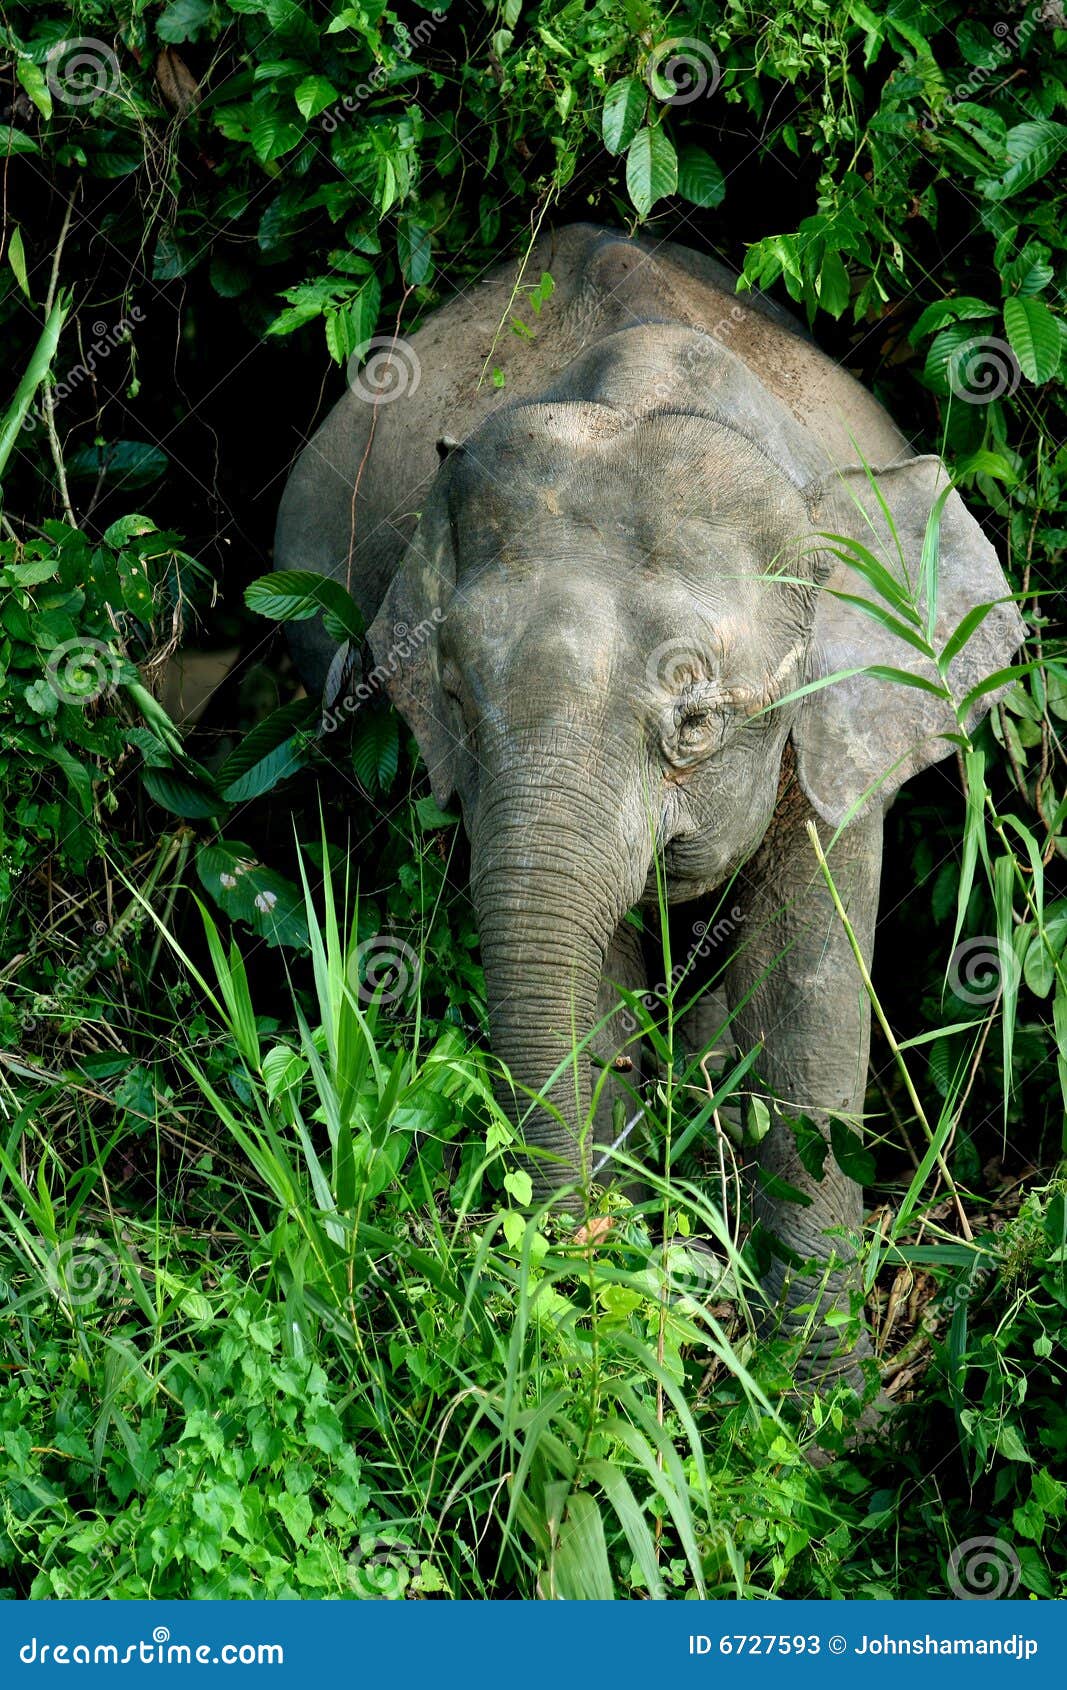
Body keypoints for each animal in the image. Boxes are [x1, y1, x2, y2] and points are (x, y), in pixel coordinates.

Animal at [275, 224, 1024, 1397]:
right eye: (450, 697)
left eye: (698, 719)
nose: (570, 1261)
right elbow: (587, 985)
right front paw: (624, 1323)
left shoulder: (842, 718)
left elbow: (805, 1004)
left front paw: (822, 1409)